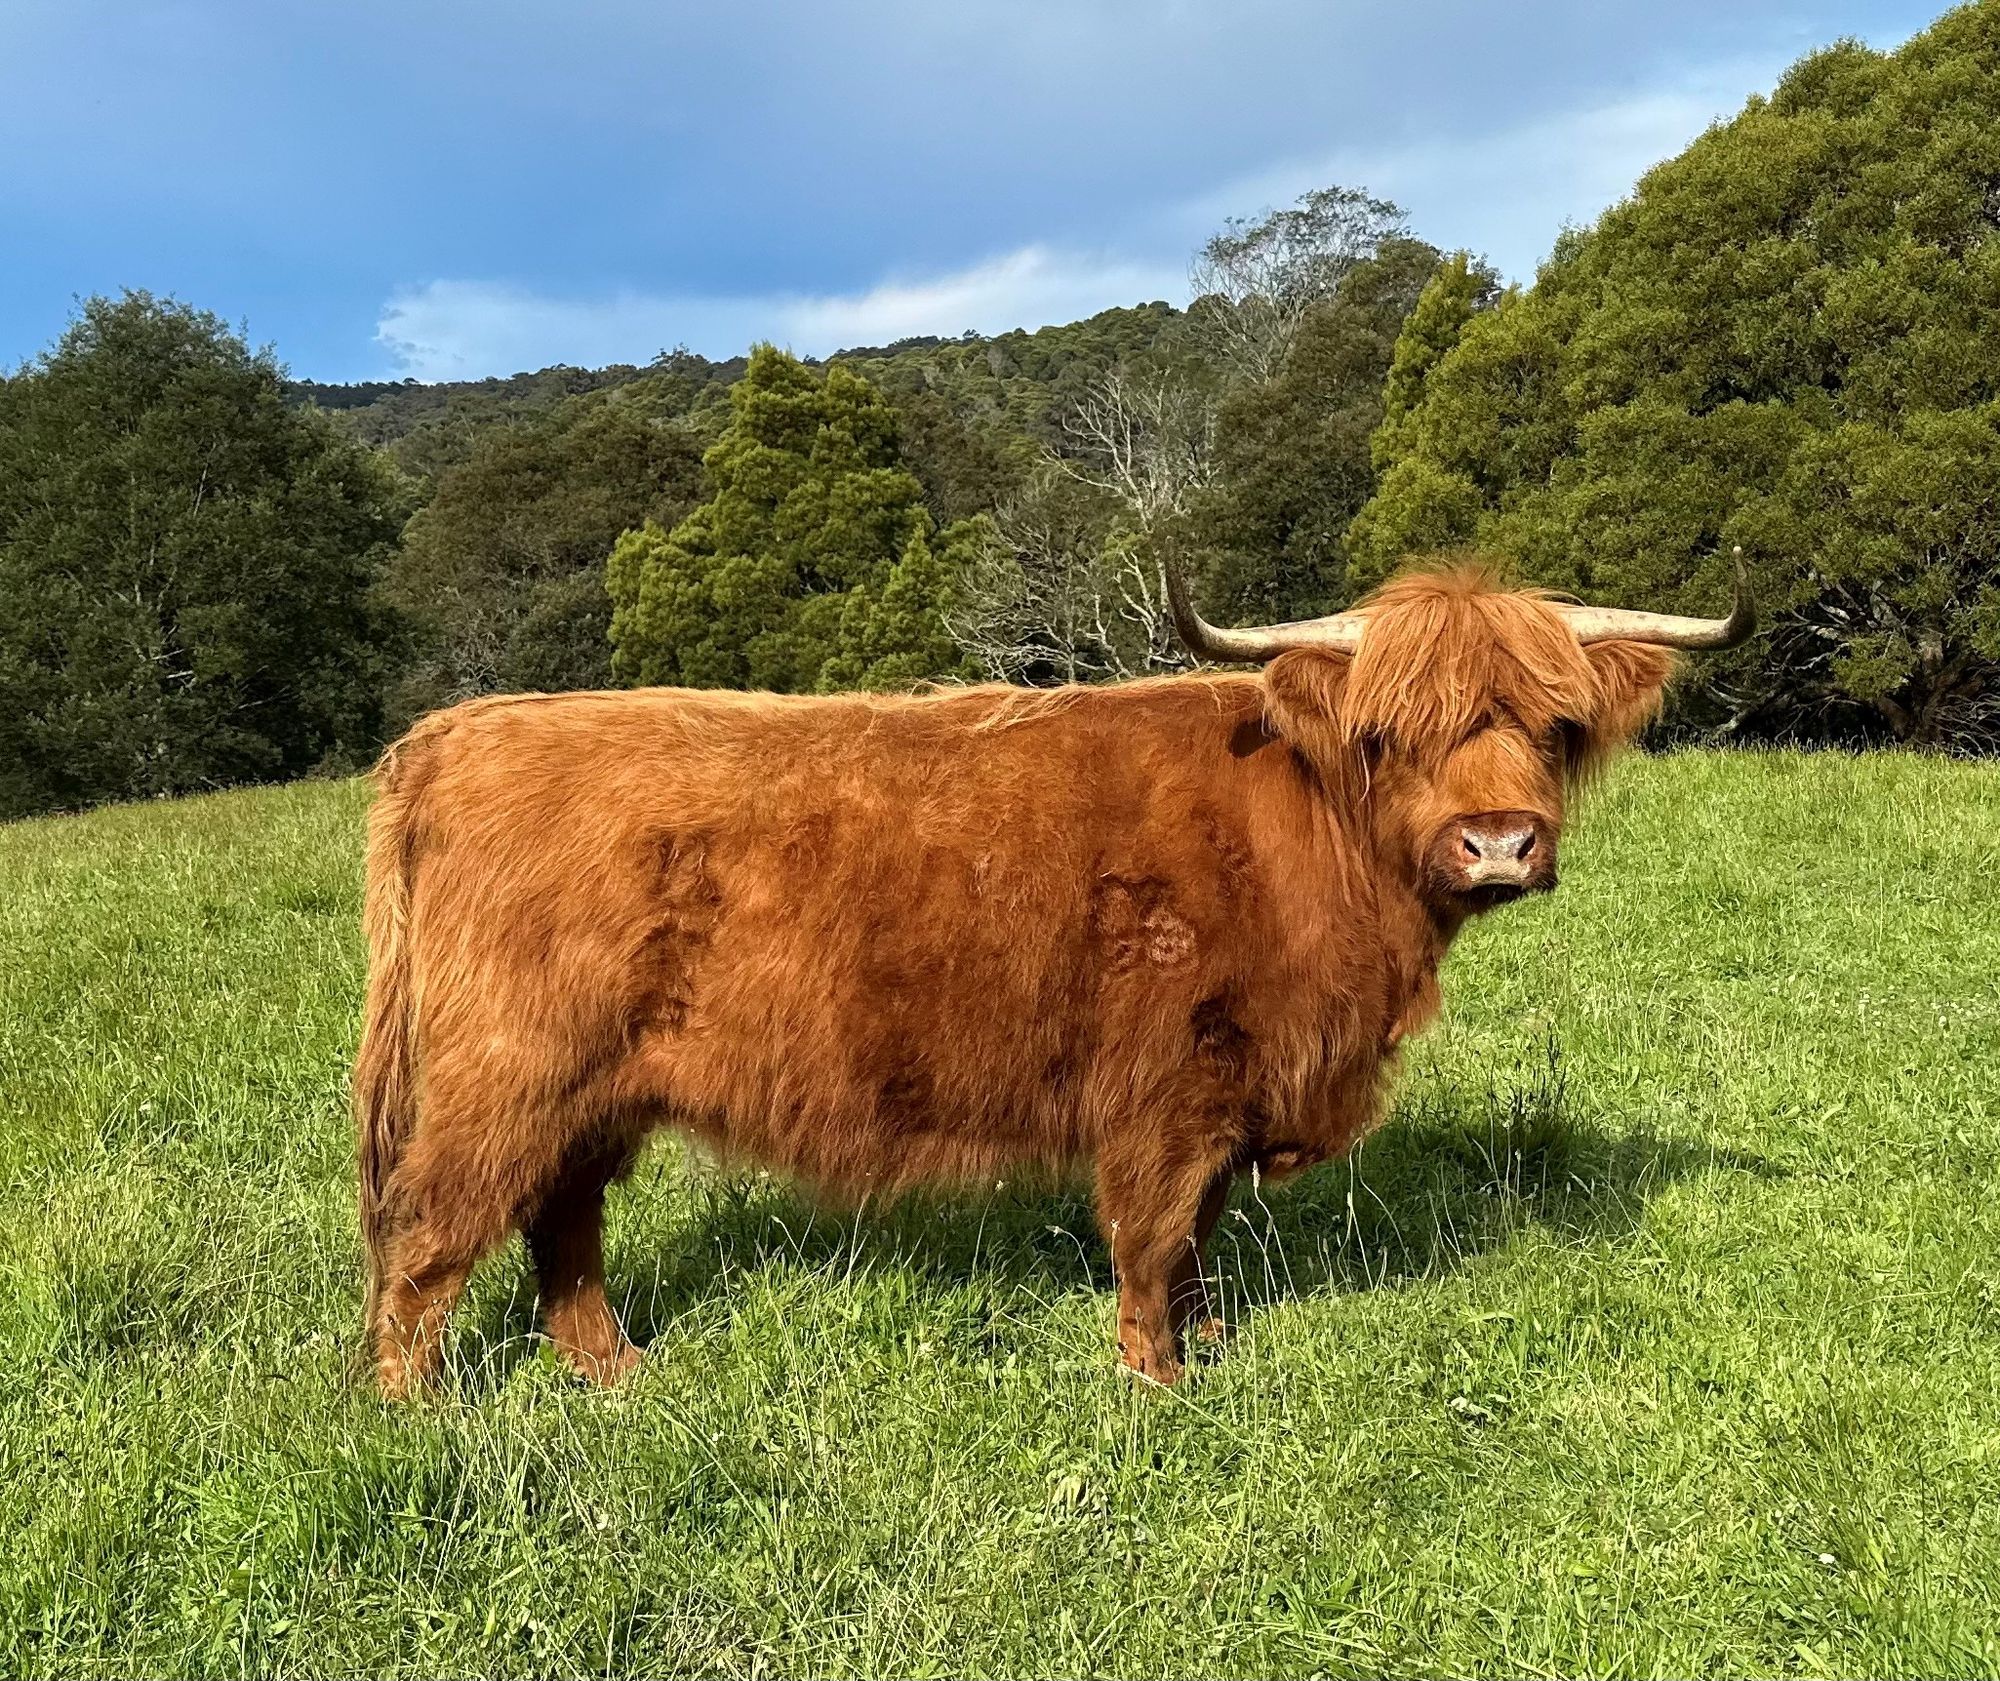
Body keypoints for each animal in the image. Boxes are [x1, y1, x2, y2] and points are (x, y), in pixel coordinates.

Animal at [354, 552, 1753, 1395]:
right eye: (1384, 734)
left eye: (1550, 726)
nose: (1498, 843)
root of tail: (453, 733)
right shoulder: (1168, 1084)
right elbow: (1153, 1229)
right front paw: (1155, 1382)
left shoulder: (1226, 1088)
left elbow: (1200, 1235)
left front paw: (1206, 1340)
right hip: (506, 1077)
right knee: (429, 1240)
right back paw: (419, 1416)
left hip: (592, 1087)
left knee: (560, 1220)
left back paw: (615, 1372)